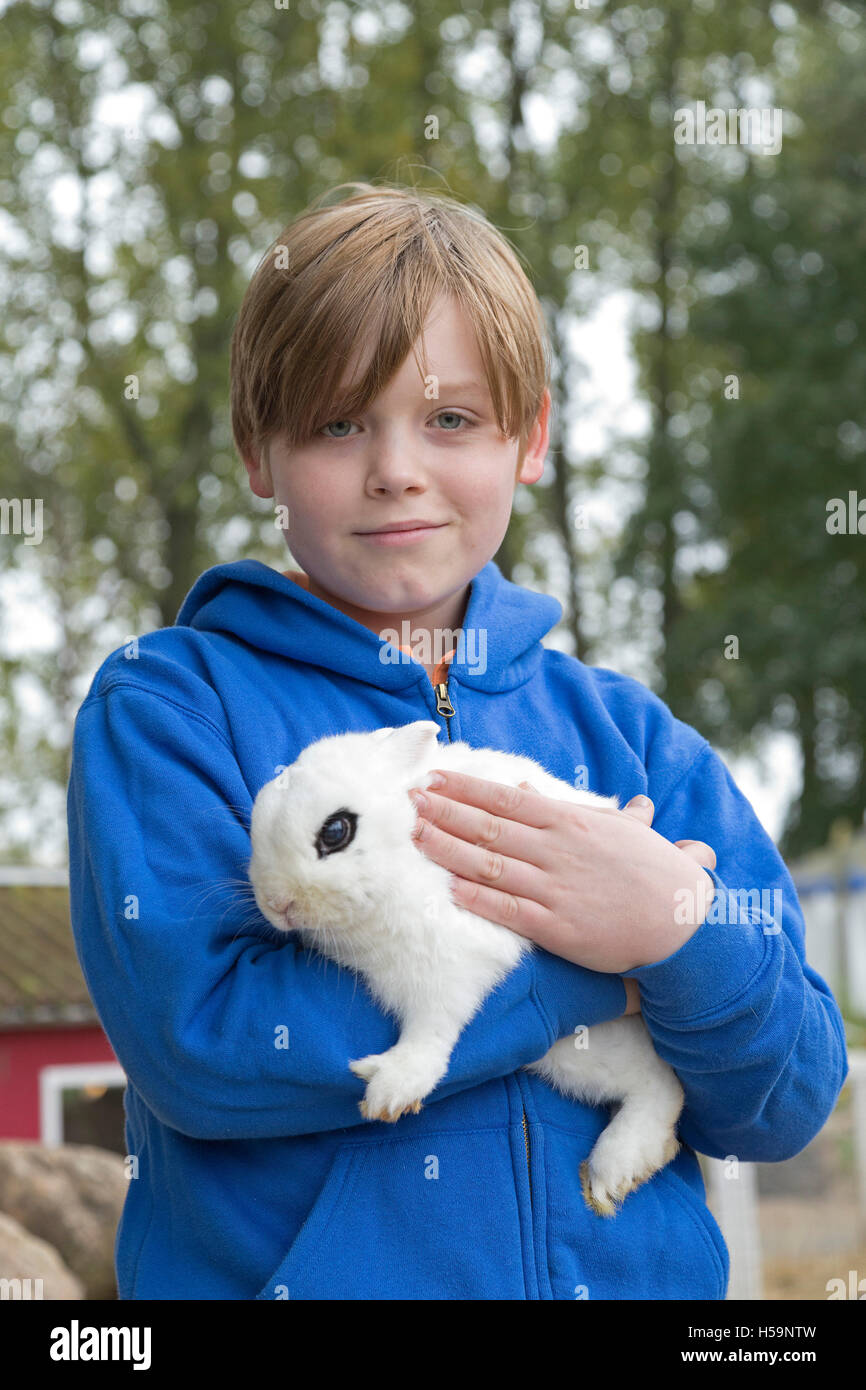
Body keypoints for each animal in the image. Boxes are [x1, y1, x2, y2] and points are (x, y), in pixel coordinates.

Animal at [248, 720, 684, 1216]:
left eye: (337, 830)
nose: (276, 904)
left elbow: (433, 1030)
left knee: (665, 1087)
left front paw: (393, 1089)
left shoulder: (452, 963)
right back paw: (621, 1169)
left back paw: (612, 1169)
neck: (403, 854)